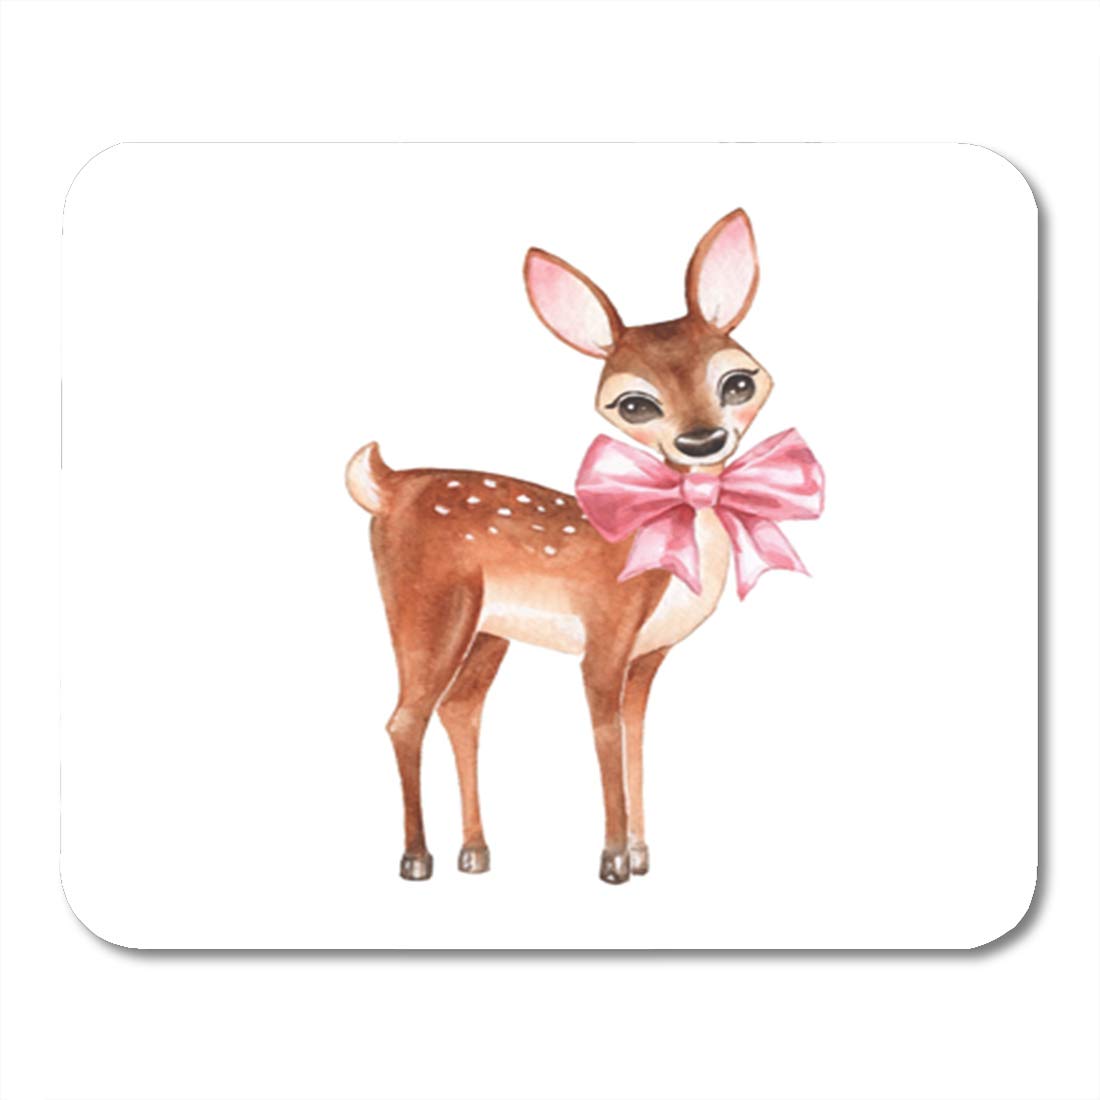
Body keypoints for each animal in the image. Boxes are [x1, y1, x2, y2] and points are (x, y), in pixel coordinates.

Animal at [346, 209, 824, 884]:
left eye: (738, 381)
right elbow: (605, 736)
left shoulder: (648, 656)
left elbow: (635, 733)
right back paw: (417, 858)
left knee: (459, 709)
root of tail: (385, 485)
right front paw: (614, 861)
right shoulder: (604, 634)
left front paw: (643, 855)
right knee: (404, 717)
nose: (700, 440)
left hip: (489, 629)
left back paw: (476, 852)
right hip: (426, 604)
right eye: (634, 403)